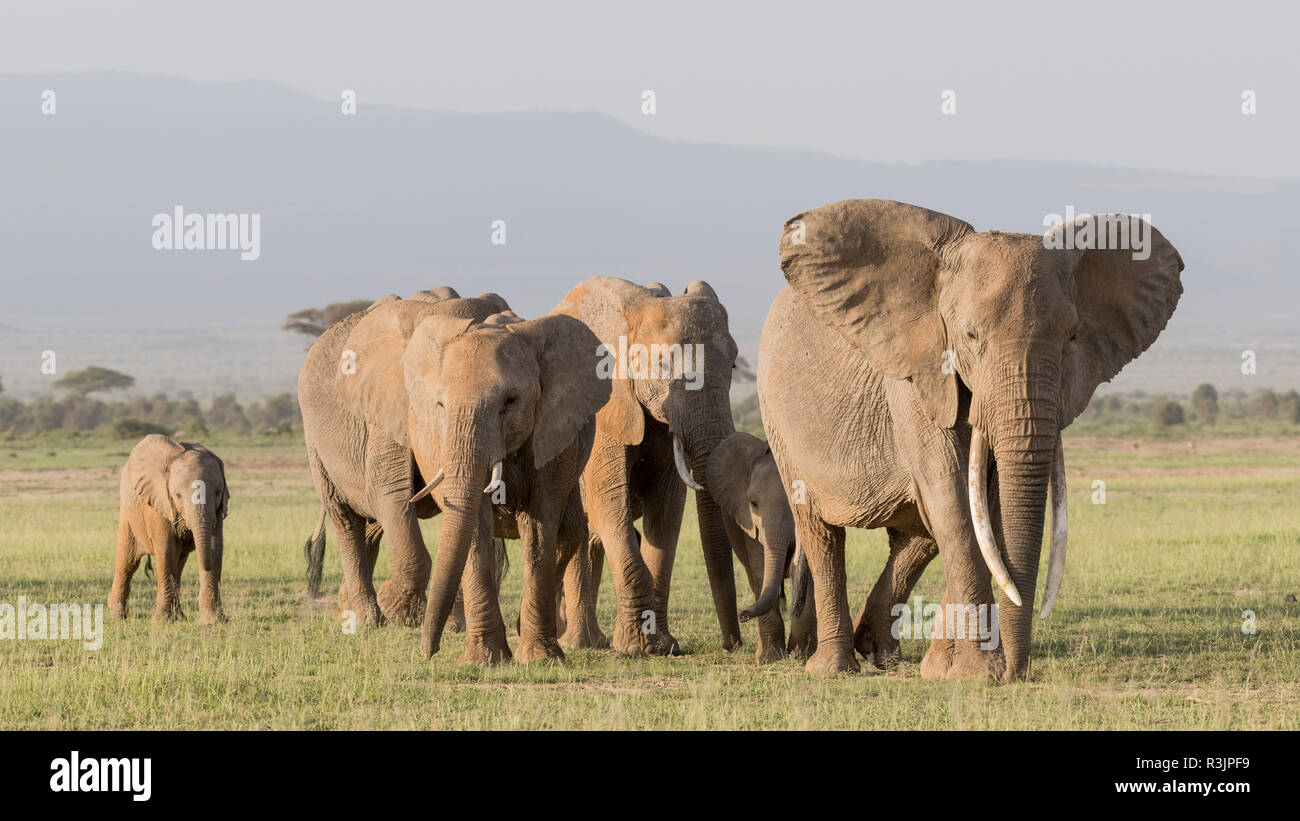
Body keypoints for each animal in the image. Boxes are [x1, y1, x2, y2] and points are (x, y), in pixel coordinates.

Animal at [108, 434, 229, 624]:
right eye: (178, 495)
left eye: (217, 492)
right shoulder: (158, 502)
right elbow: (166, 549)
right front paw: (161, 621)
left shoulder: (216, 511)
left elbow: (215, 547)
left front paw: (213, 622)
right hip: (129, 512)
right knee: (127, 562)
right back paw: (118, 617)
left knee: (178, 564)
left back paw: (179, 617)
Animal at [299, 288, 610, 664]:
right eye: (439, 404)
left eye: (511, 401)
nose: (427, 653)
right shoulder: (397, 411)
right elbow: (397, 497)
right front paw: (406, 614)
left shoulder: (552, 423)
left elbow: (539, 522)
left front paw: (536, 658)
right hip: (315, 441)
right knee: (346, 519)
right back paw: (365, 620)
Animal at [552, 277, 742, 655]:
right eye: (665, 367)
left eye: (732, 367)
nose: (735, 644)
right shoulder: (603, 407)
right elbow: (611, 504)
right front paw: (637, 648)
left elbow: (666, 512)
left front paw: (663, 646)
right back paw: (578, 645)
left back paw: (593, 643)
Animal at [759, 199, 1183, 680]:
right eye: (970, 336)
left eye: (1072, 338)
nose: (1018, 671)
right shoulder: (914, 371)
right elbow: (954, 495)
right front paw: (977, 673)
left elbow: (982, 506)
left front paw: (944, 671)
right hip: (778, 420)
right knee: (820, 529)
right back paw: (833, 668)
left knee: (918, 535)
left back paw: (880, 653)